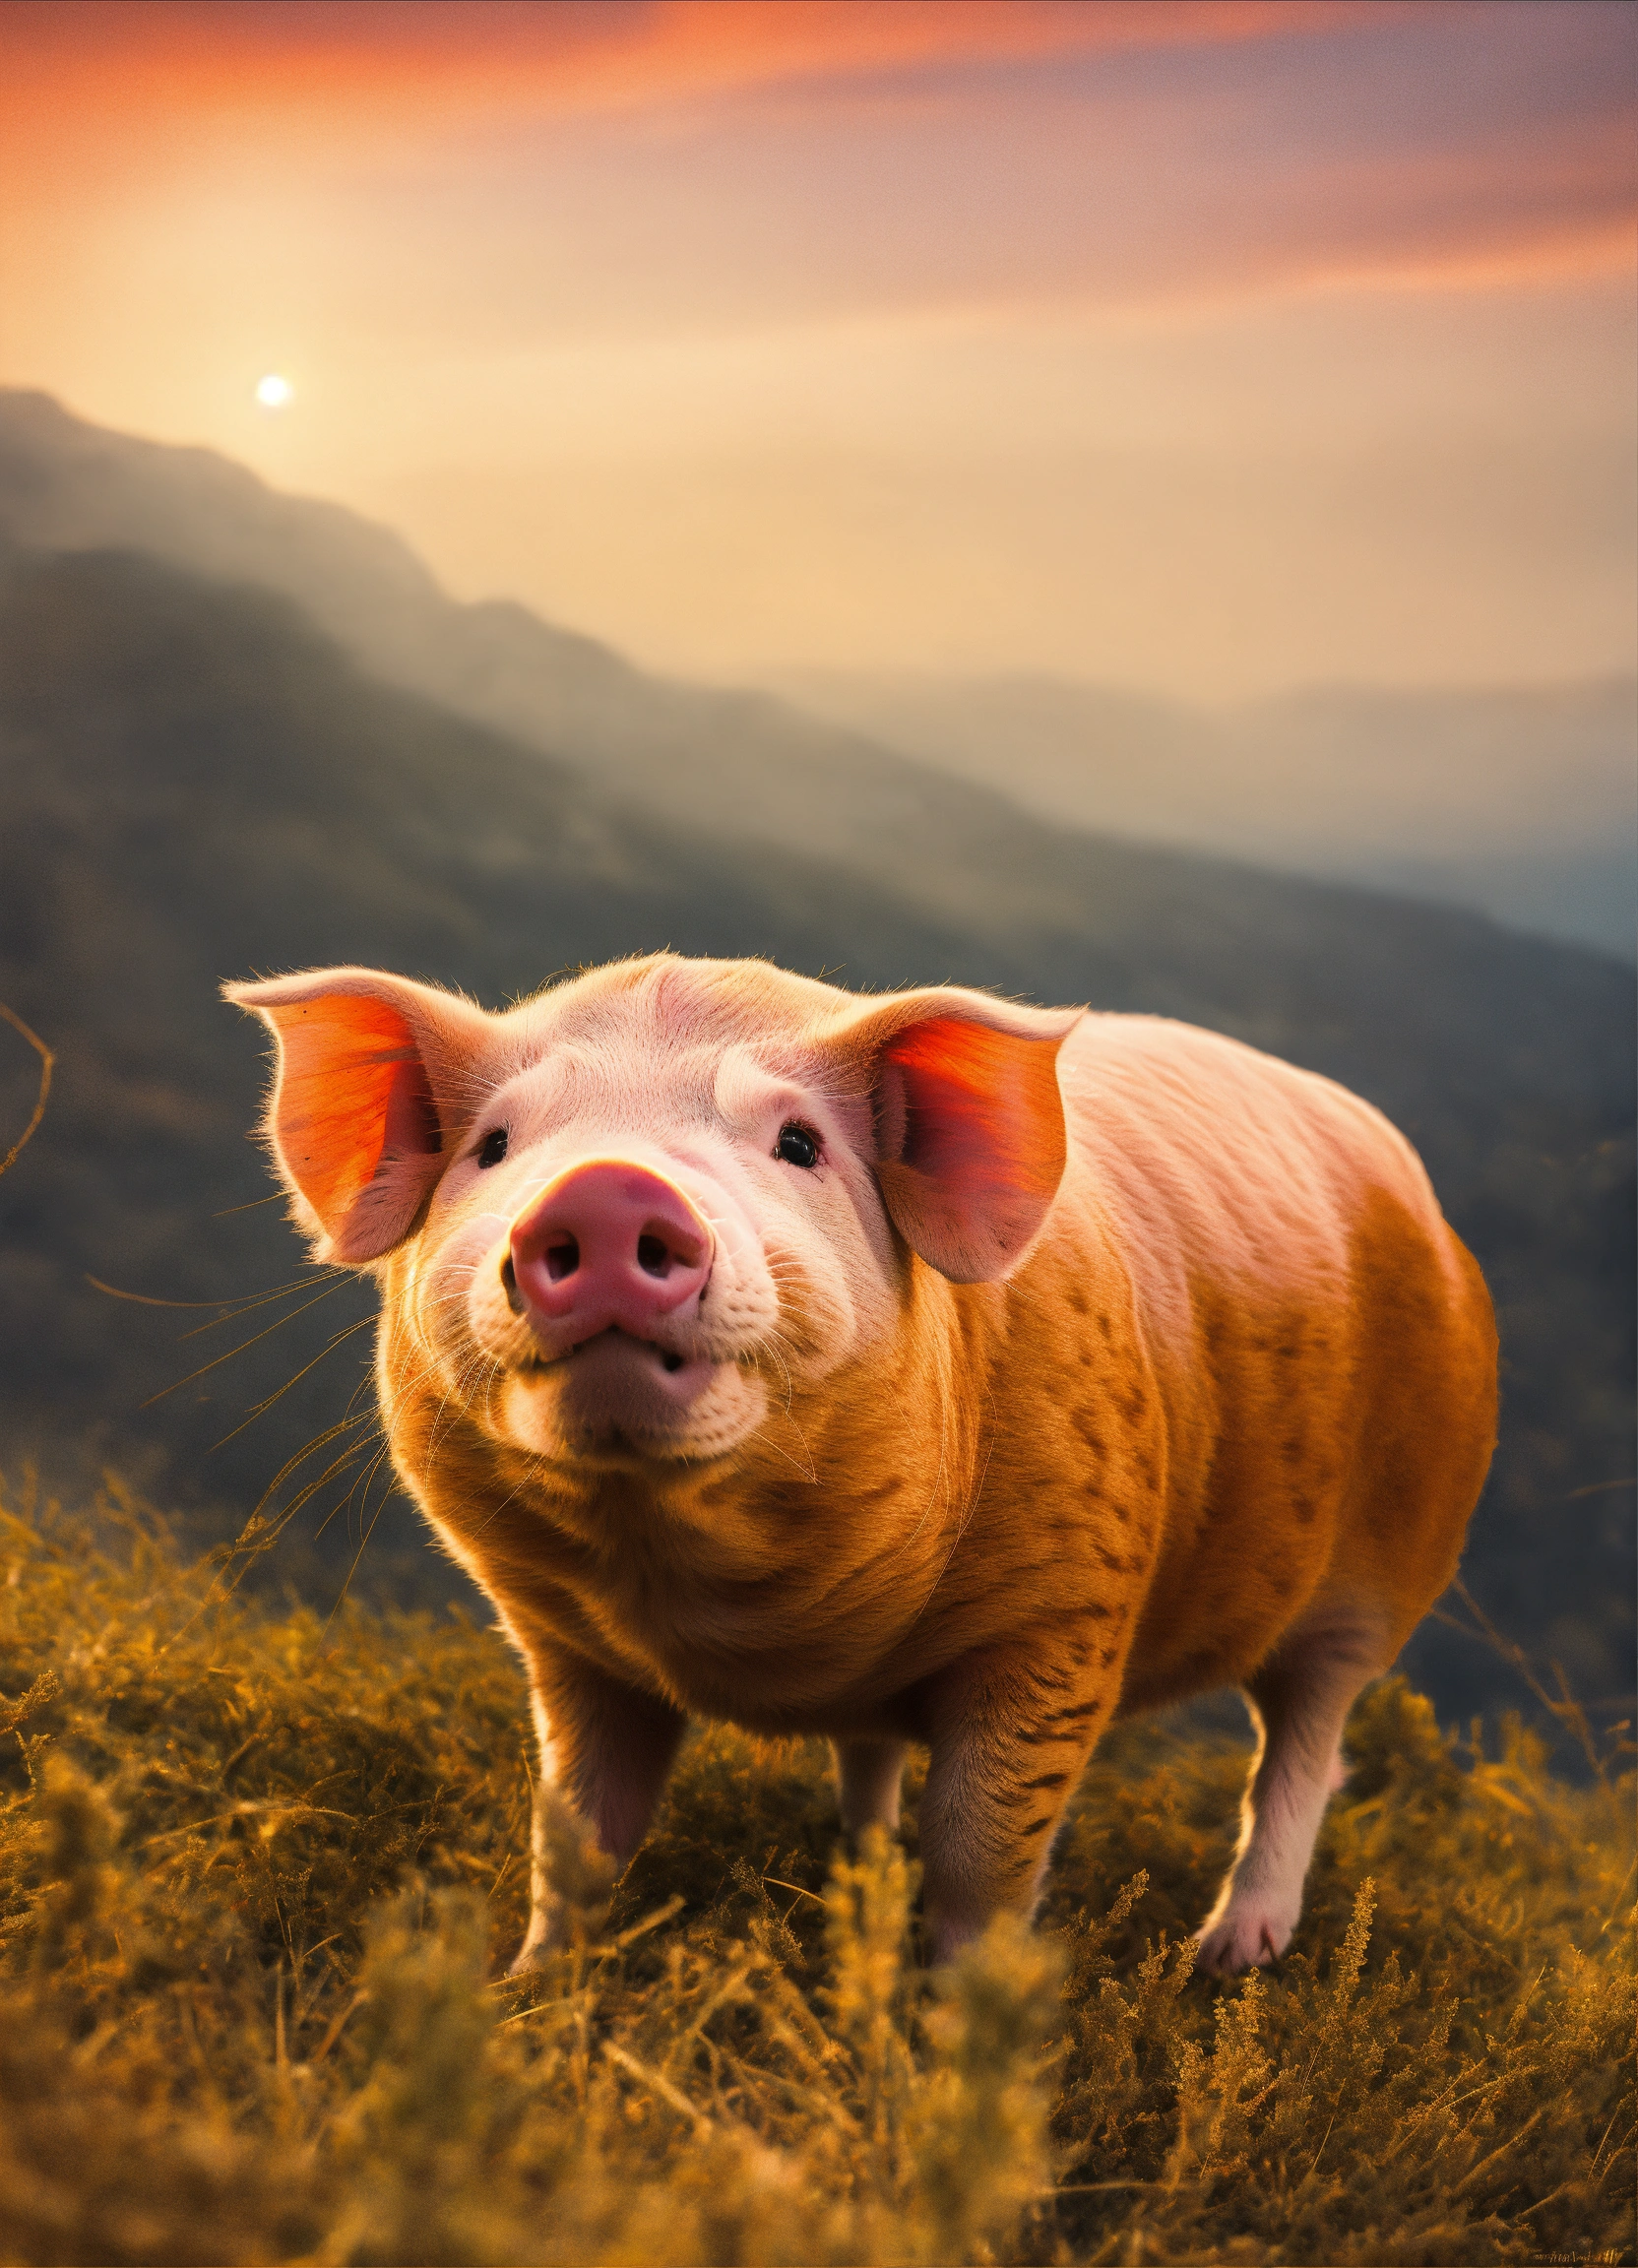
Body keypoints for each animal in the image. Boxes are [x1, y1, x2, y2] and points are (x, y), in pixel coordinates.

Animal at [225, 953, 1497, 1972]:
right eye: (493, 1146)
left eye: (798, 1145)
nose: (608, 1186)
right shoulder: (566, 1647)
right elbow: (574, 1831)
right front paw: (527, 1997)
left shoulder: (1061, 1617)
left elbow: (981, 1856)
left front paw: (959, 2019)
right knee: (875, 1750)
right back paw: (859, 1864)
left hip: (1389, 1553)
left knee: (1303, 1742)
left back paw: (1231, 1957)